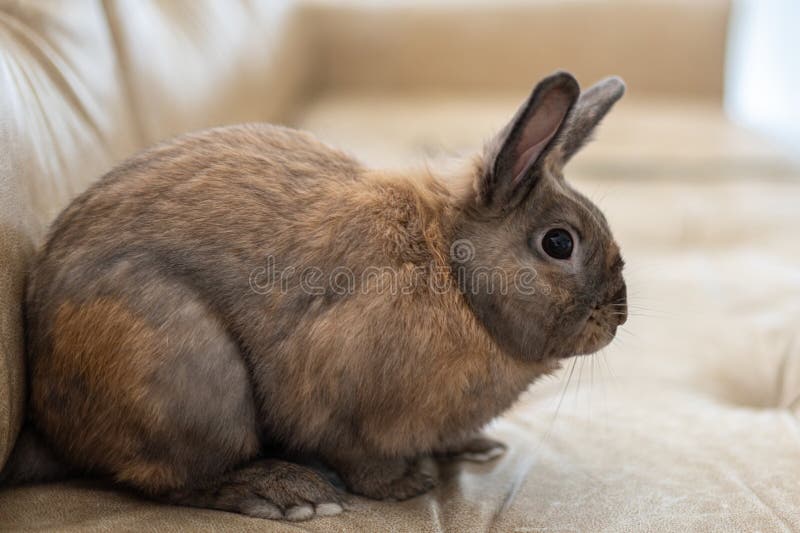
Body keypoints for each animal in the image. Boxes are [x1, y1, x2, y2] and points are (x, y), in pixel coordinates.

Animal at [7, 71, 627, 521]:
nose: (618, 316)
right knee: (172, 479)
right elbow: (360, 459)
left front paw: (469, 447)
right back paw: (284, 492)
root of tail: (48, 422)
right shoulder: (342, 403)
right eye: (558, 242)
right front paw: (405, 485)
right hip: (190, 375)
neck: (452, 269)